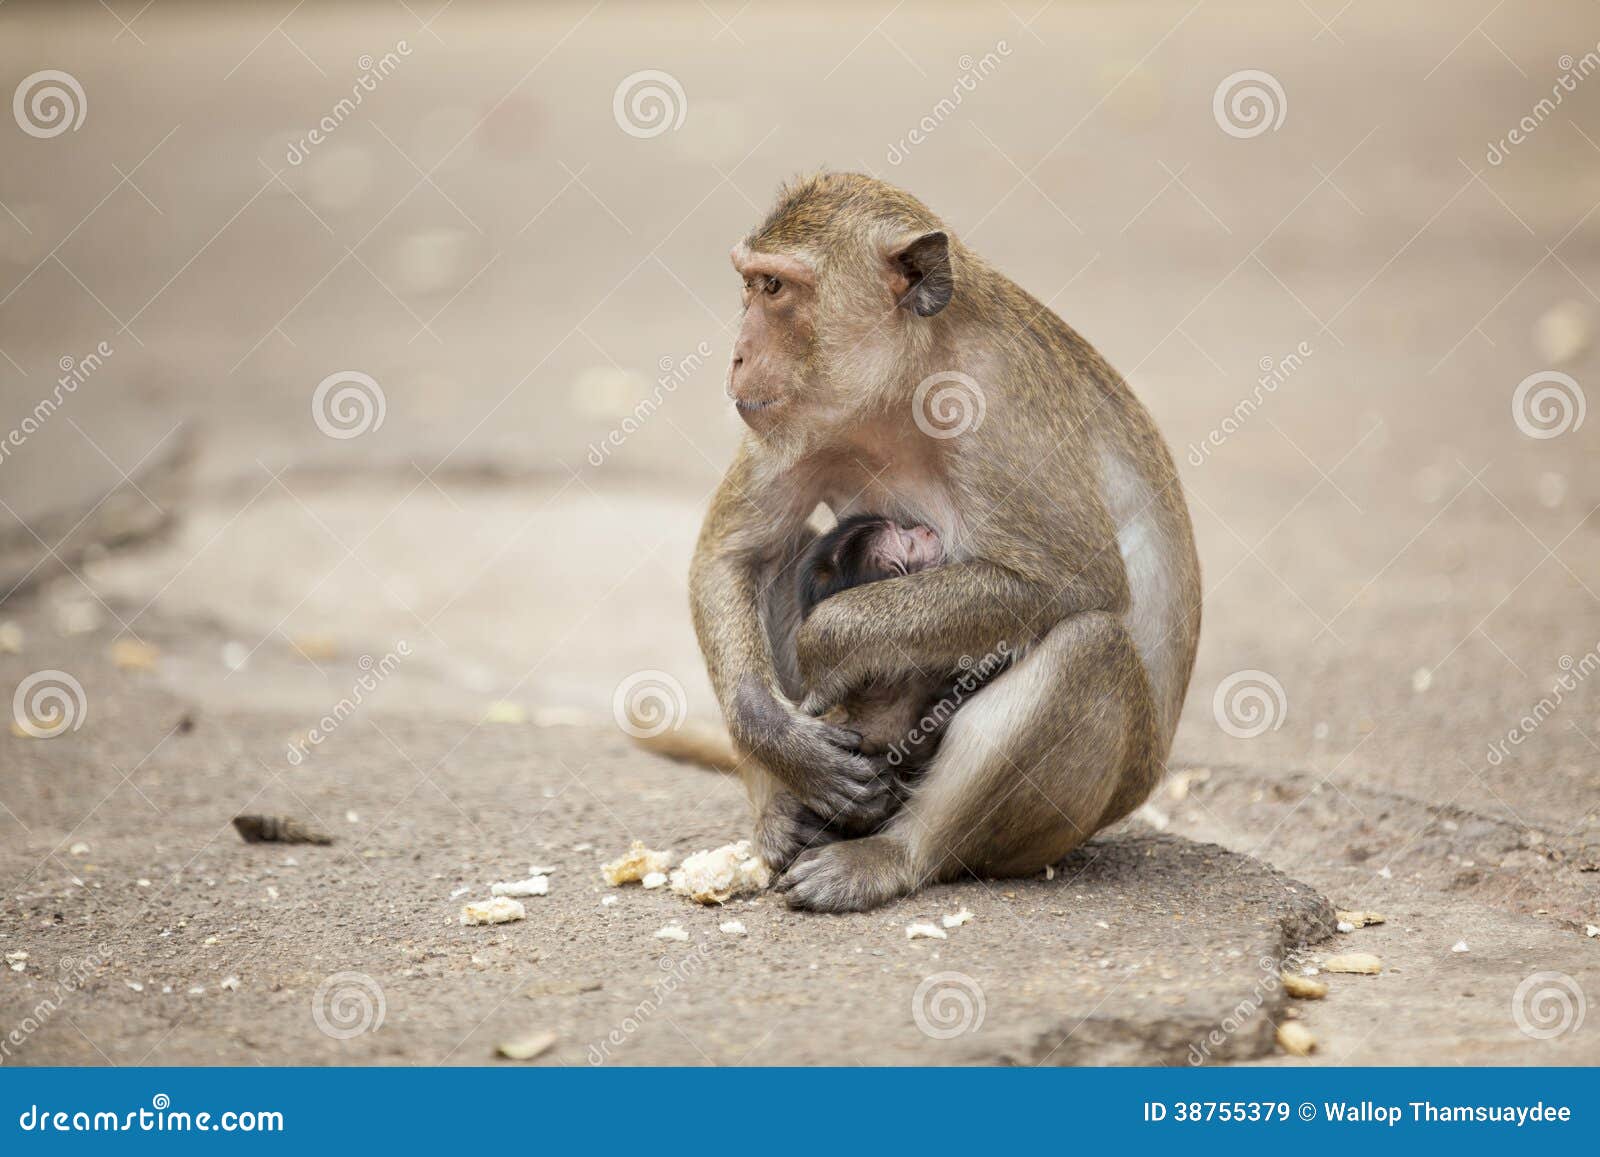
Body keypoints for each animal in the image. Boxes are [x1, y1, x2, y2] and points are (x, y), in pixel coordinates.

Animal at [688, 172, 1202, 913]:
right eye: (751, 283)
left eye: (776, 288)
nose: (737, 355)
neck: (908, 381)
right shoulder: (799, 419)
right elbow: (734, 555)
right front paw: (781, 739)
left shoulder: (998, 402)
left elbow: (1076, 581)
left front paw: (829, 641)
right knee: (783, 554)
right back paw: (782, 816)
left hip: (1058, 827)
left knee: (1088, 647)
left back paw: (894, 856)